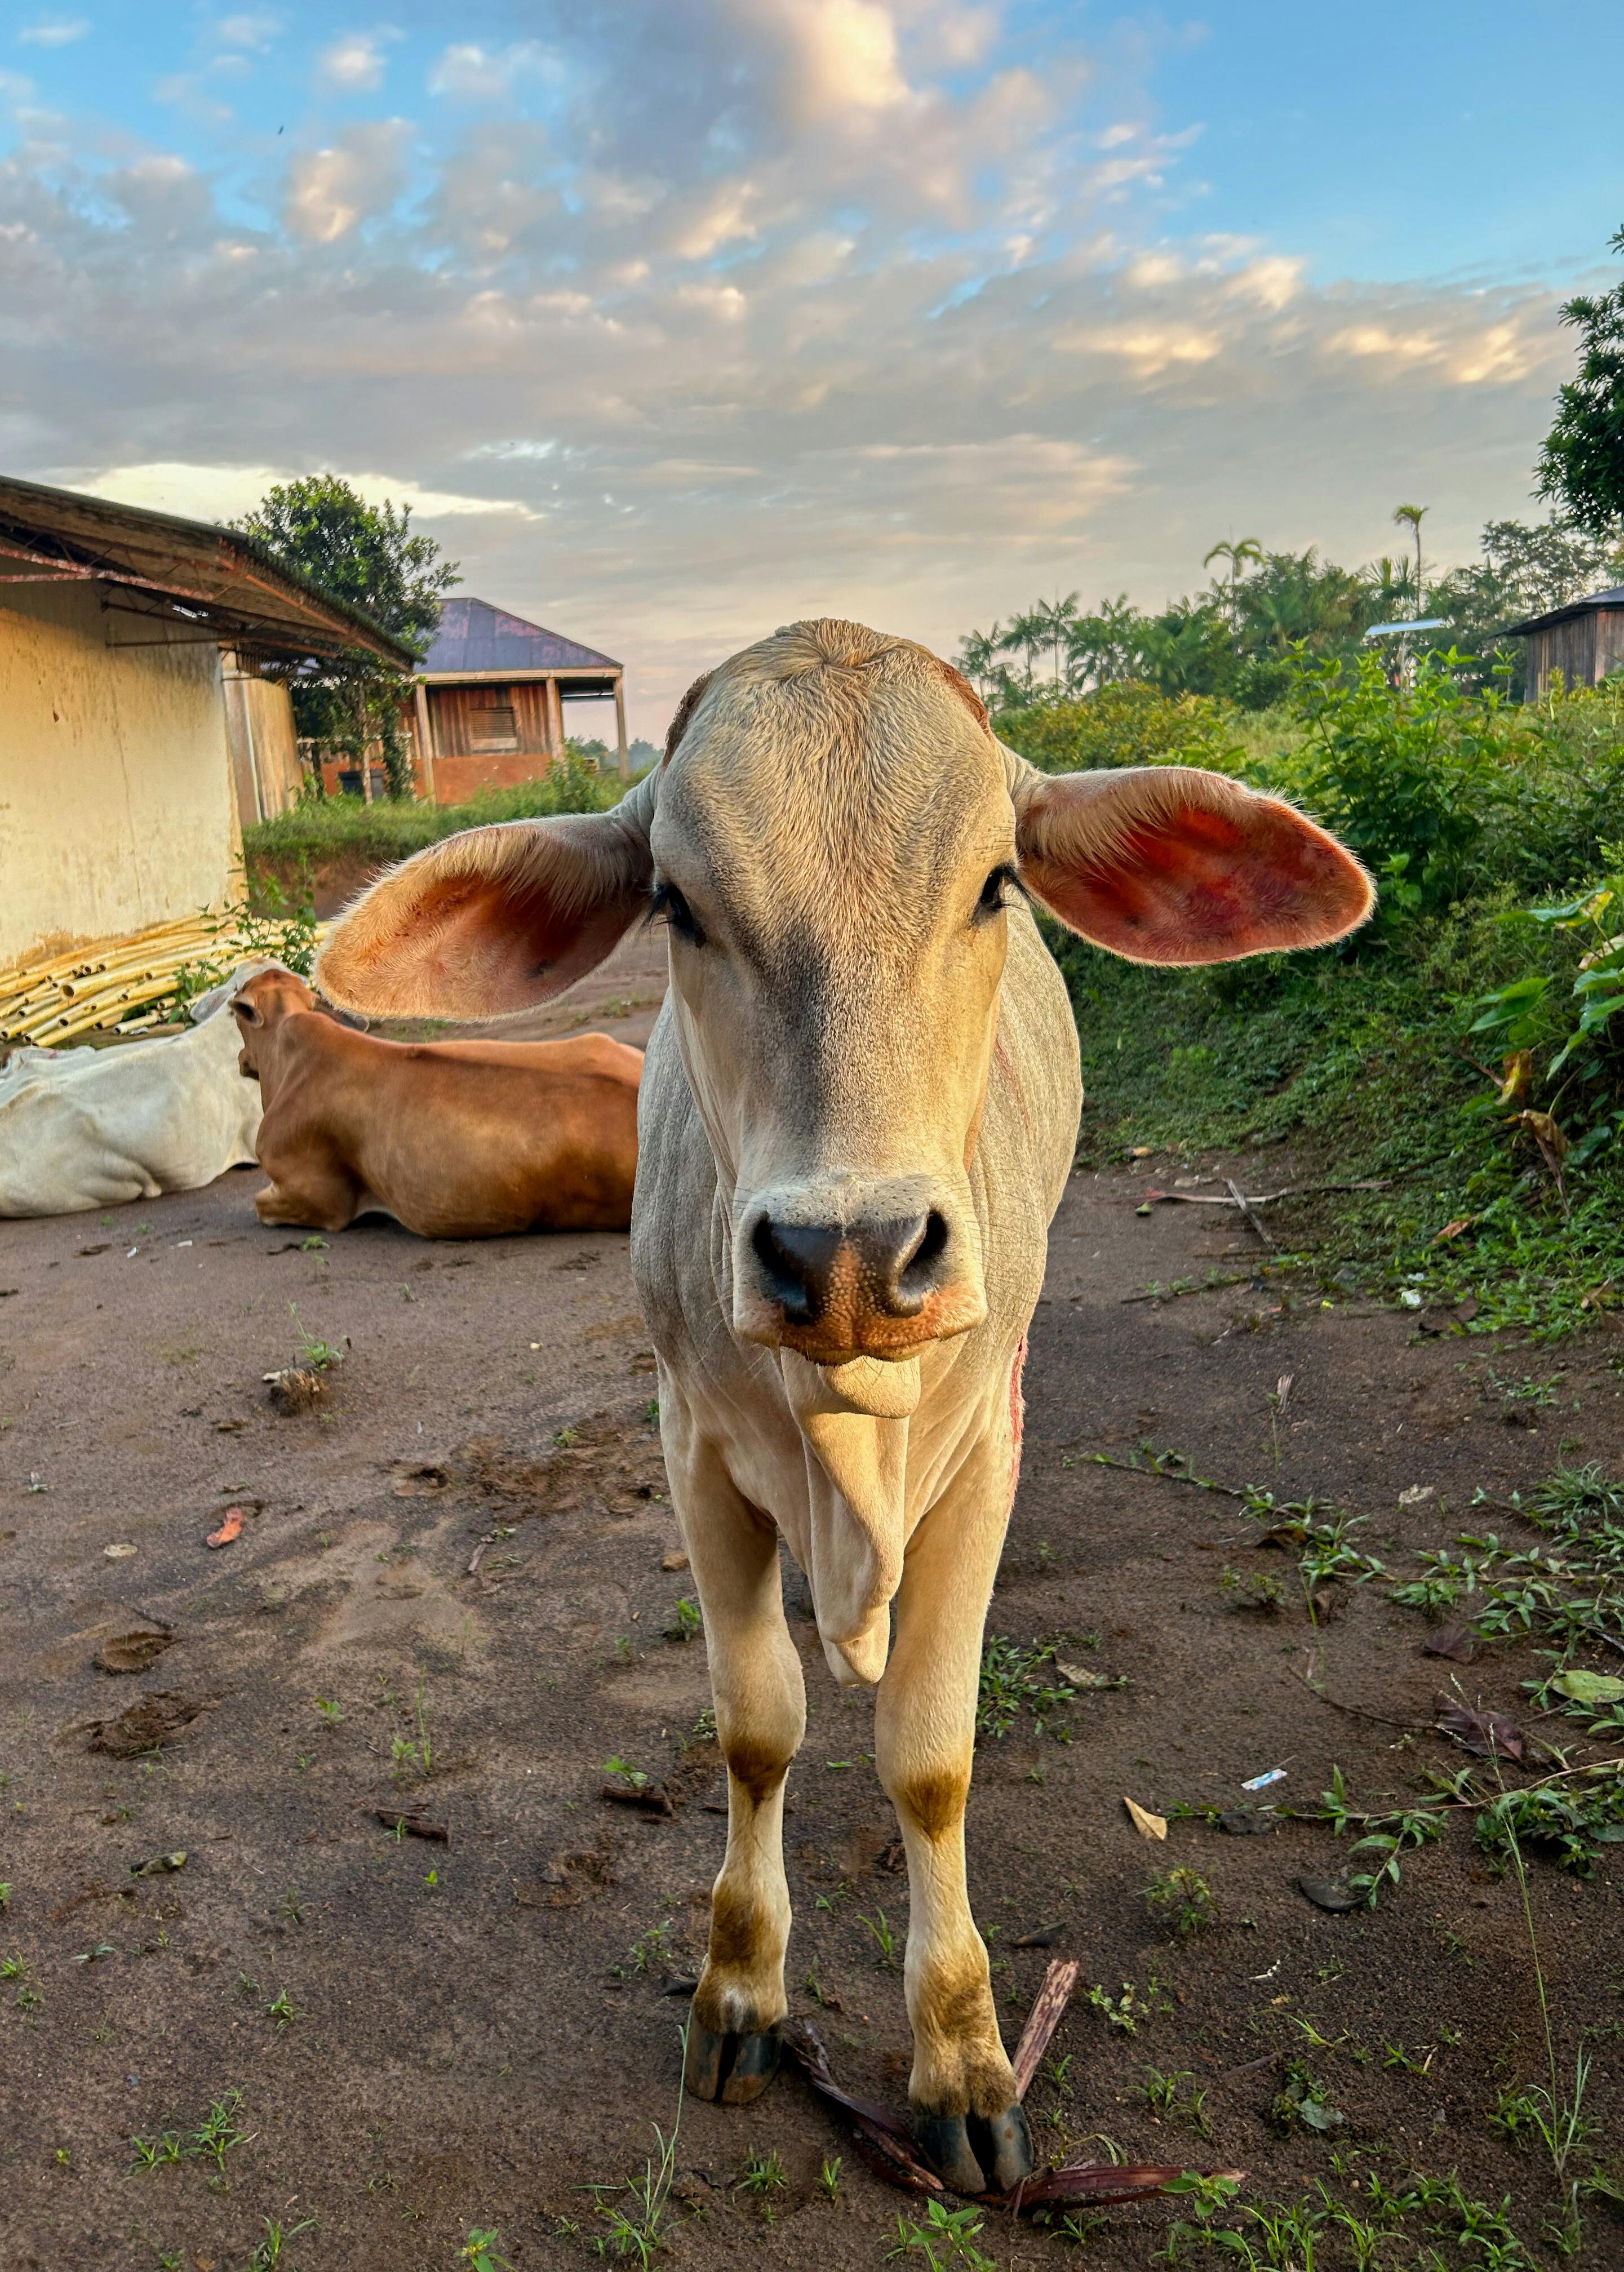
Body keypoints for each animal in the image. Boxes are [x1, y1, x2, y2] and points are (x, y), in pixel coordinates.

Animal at [313, 619, 1372, 2192]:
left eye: (994, 883)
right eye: (676, 905)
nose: (850, 1253)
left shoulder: (985, 1448)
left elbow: (929, 1763)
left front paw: (963, 2057)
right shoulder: (692, 1448)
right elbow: (757, 1726)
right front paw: (741, 1993)